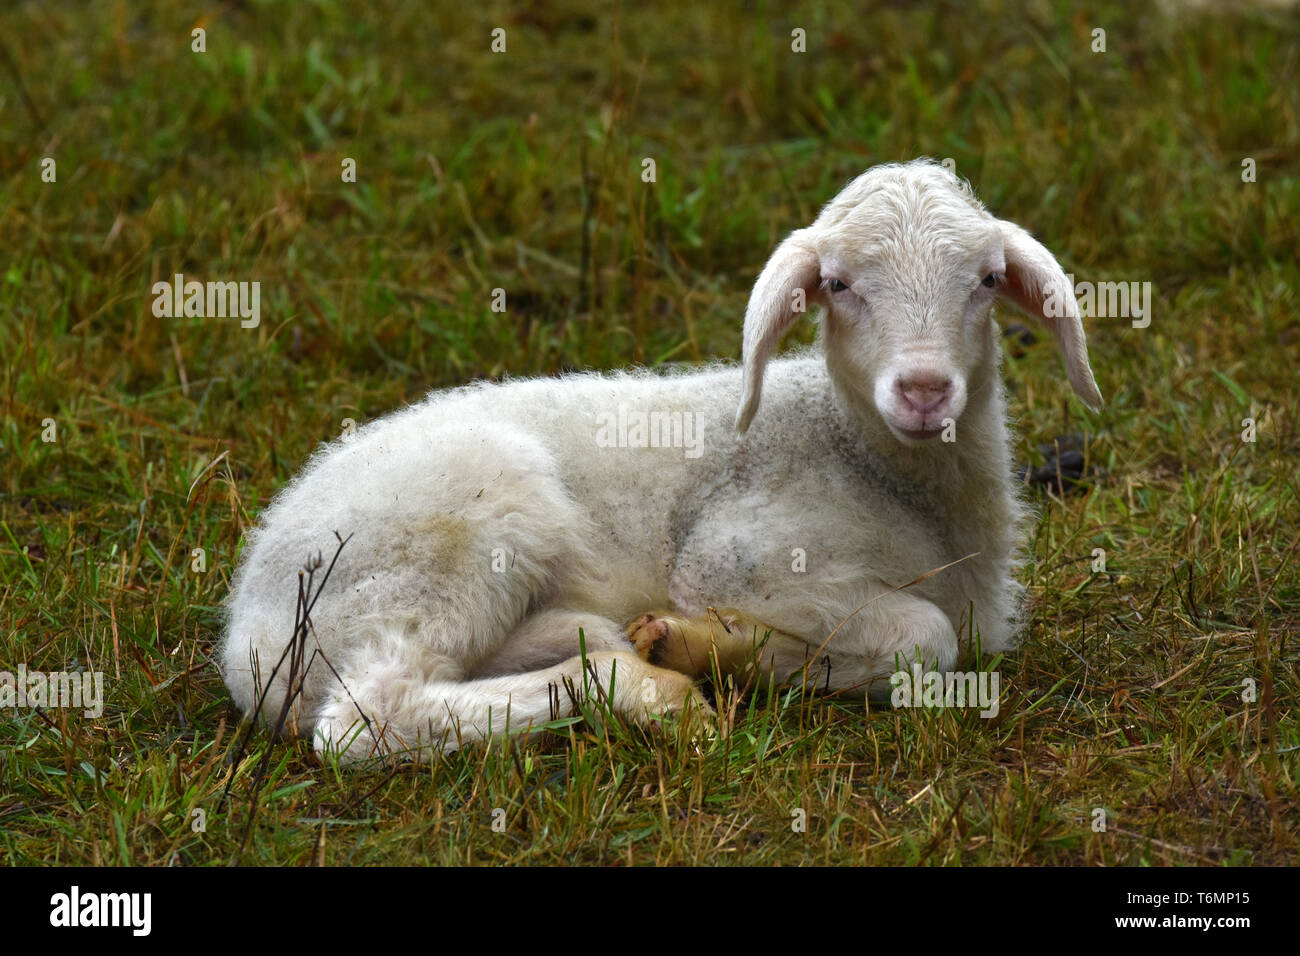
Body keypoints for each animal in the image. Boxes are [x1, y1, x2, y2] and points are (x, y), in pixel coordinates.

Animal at [219, 158, 1102, 763]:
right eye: (840, 284)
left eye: (986, 280)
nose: (923, 389)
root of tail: (245, 632)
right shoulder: (738, 557)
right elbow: (925, 637)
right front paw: (721, 647)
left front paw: (723, 648)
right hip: (454, 532)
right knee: (367, 716)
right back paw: (650, 689)